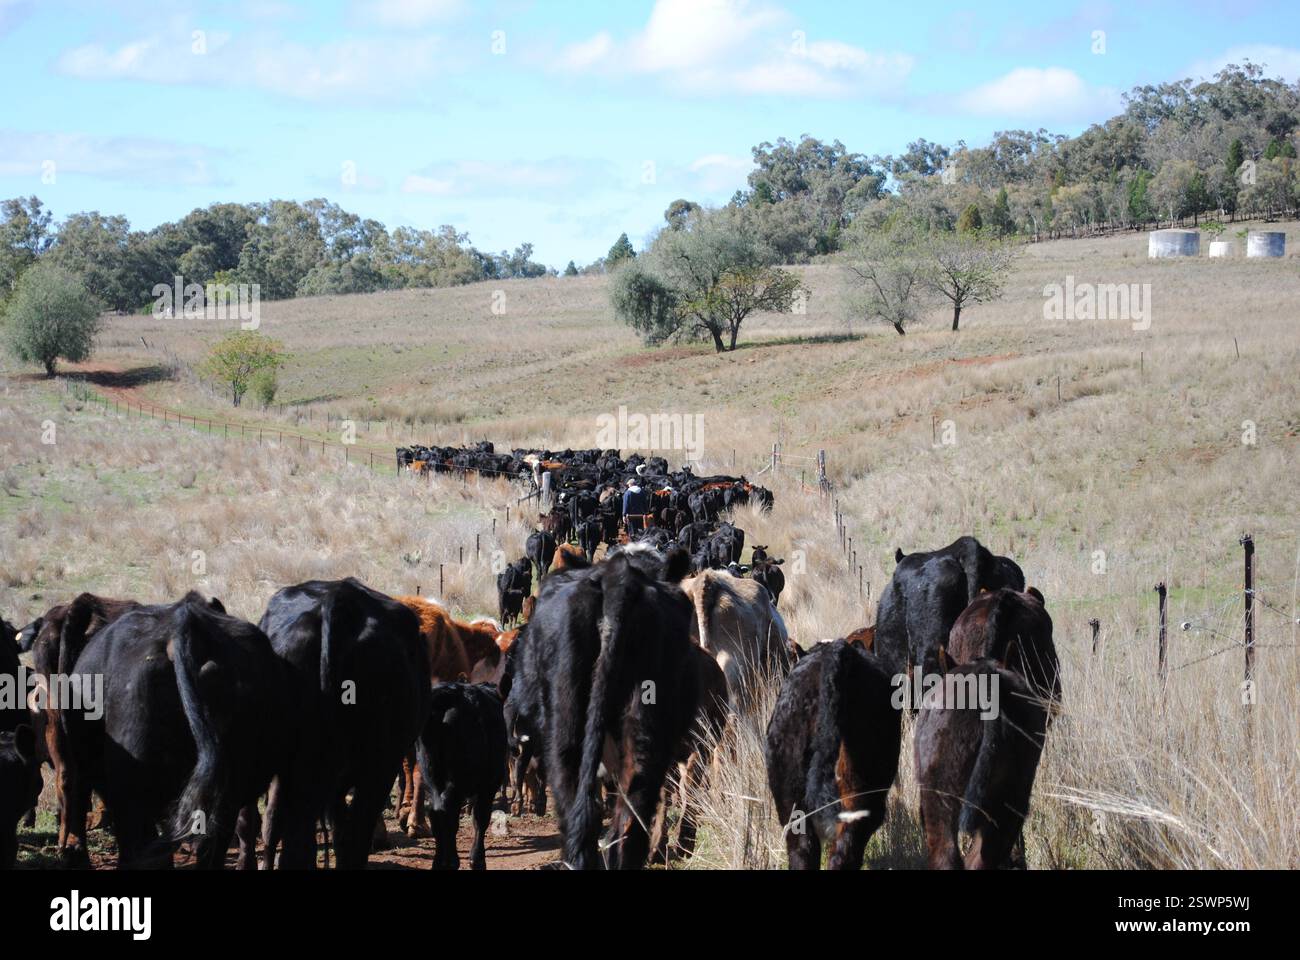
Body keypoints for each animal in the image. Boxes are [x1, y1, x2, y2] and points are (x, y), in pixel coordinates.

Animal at [415, 682, 508, 870]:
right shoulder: (489, 785)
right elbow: (480, 817)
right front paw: (477, 860)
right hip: (456, 781)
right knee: (448, 811)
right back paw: (451, 861)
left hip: (429, 776)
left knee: (435, 812)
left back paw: (439, 862)